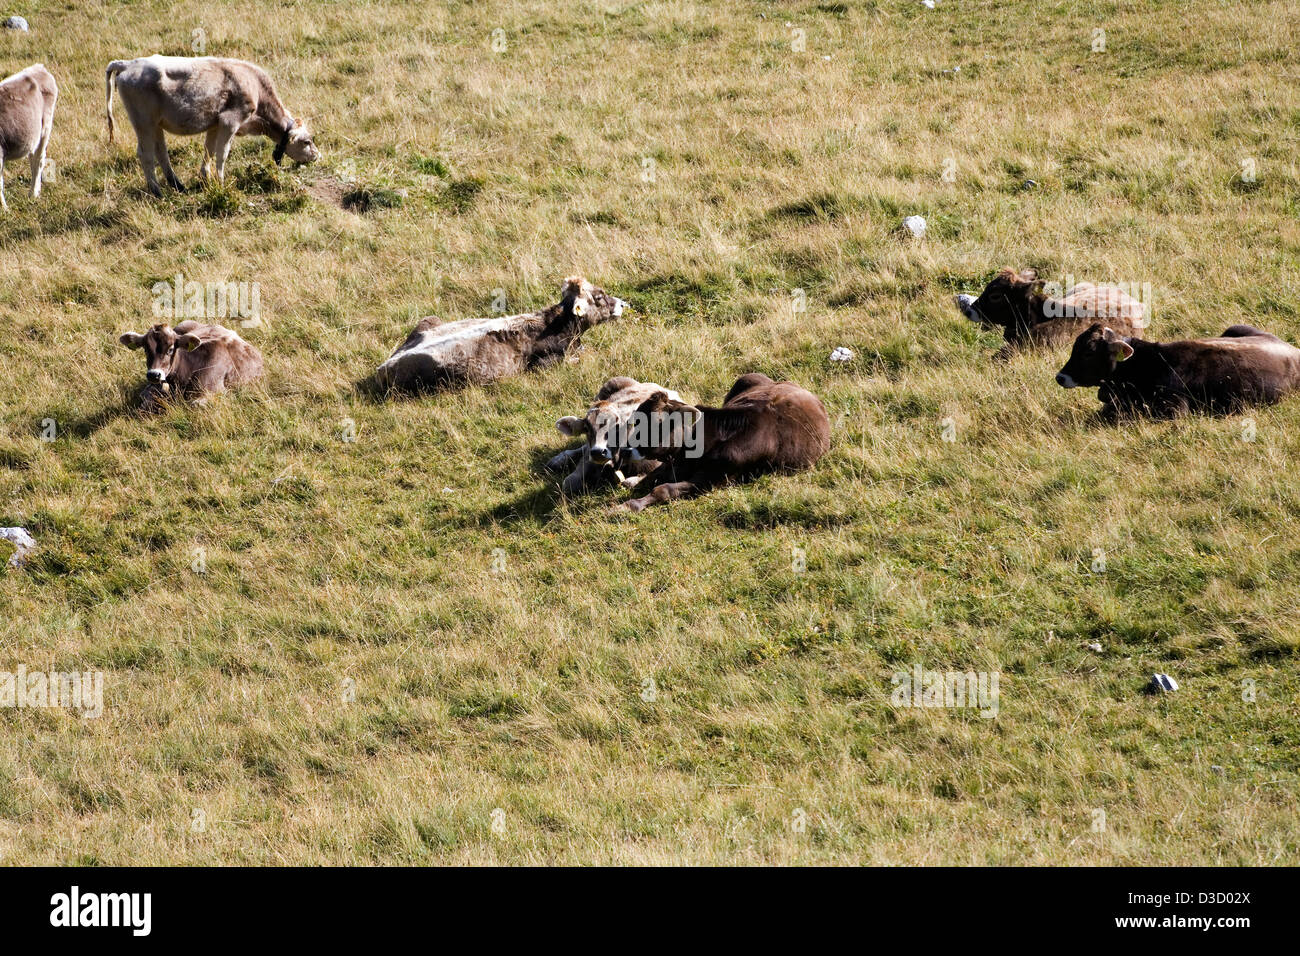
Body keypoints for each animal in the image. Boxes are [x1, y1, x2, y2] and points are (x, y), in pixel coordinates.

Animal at [105, 55, 320, 195]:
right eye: (307, 141)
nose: (318, 155)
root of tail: (128, 64)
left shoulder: (215, 124)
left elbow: (208, 150)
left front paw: (205, 179)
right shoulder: (230, 121)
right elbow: (222, 153)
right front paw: (221, 182)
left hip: (156, 124)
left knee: (161, 152)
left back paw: (178, 186)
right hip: (143, 122)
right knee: (146, 154)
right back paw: (157, 191)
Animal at [118, 321, 264, 409]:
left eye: (170, 349)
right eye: (145, 349)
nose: (154, 374)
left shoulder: (217, 390)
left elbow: (195, 404)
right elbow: (145, 398)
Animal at [375, 276, 628, 391]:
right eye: (599, 297)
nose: (622, 304)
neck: (556, 325)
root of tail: (384, 366)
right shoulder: (542, 363)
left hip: (429, 320)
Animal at [548, 377, 683, 495]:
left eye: (617, 426)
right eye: (586, 428)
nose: (598, 452)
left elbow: (633, 481)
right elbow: (568, 483)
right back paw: (559, 459)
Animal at [609, 373, 831, 512]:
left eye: (658, 424)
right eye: (636, 418)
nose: (624, 451)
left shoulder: (712, 480)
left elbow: (664, 489)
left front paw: (627, 507)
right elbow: (651, 477)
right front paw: (632, 483)